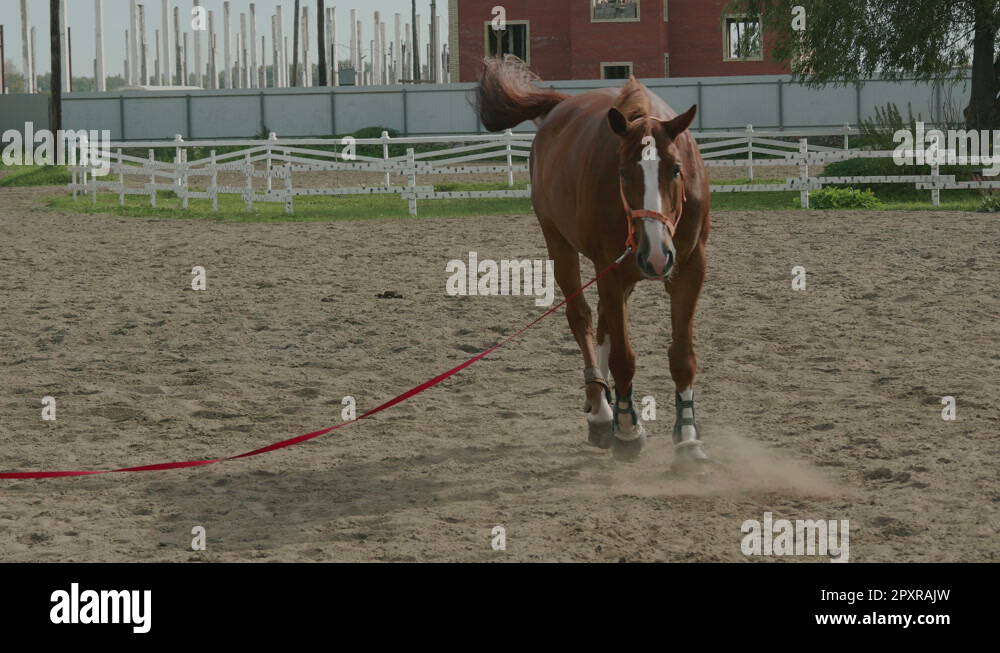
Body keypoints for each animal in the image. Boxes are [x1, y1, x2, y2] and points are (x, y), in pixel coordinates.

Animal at [476, 56, 710, 467]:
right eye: (623, 172)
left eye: (676, 169)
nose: (656, 254)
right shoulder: (610, 268)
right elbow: (622, 358)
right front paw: (628, 428)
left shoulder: (689, 268)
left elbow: (682, 357)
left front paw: (687, 437)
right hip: (562, 245)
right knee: (583, 319)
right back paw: (603, 412)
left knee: (602, 323)